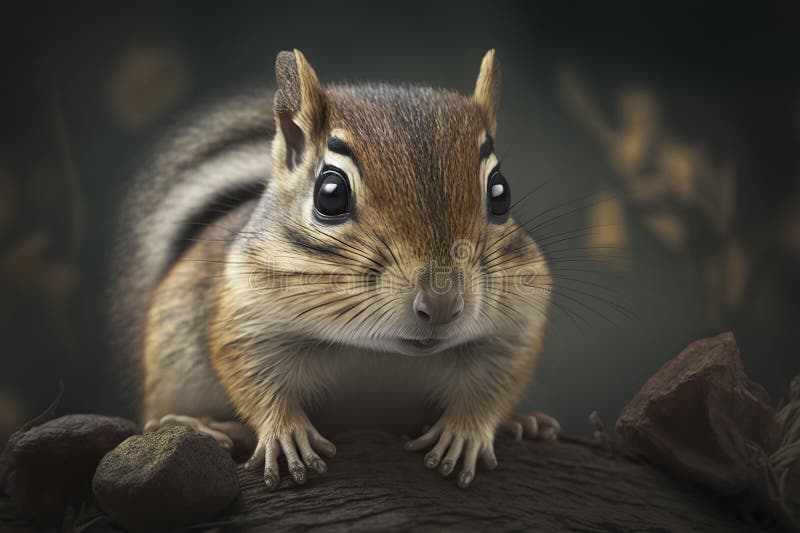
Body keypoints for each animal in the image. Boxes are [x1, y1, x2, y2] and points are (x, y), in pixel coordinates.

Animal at [111, 49, 560, 490]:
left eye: (500, 192)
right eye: (330, 194)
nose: (442, 304)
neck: (380, 351)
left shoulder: (517, 317)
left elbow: (497, 378)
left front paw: (466, 431)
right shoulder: (244, 311)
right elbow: (252, 374)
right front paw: (285, 433)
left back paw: (523, 424)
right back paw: (195, 423)